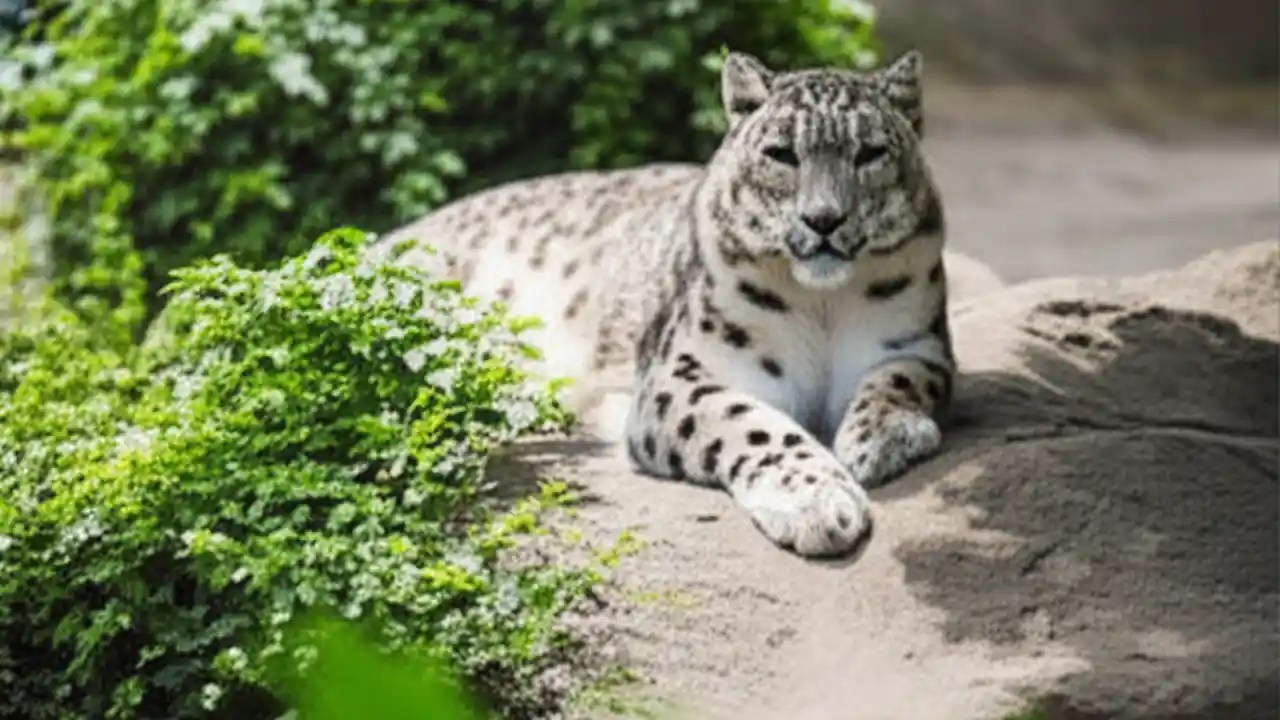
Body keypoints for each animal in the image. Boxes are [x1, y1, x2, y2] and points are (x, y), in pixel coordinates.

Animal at [376, 50, 953, 557]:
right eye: (782, 153)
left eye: (870, 152)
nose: (824, 219)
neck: (823, 307)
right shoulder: (686, 372)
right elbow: (749, 422)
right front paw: (816, 501)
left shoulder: (918, 343)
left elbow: (899, 380)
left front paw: (881, 437)